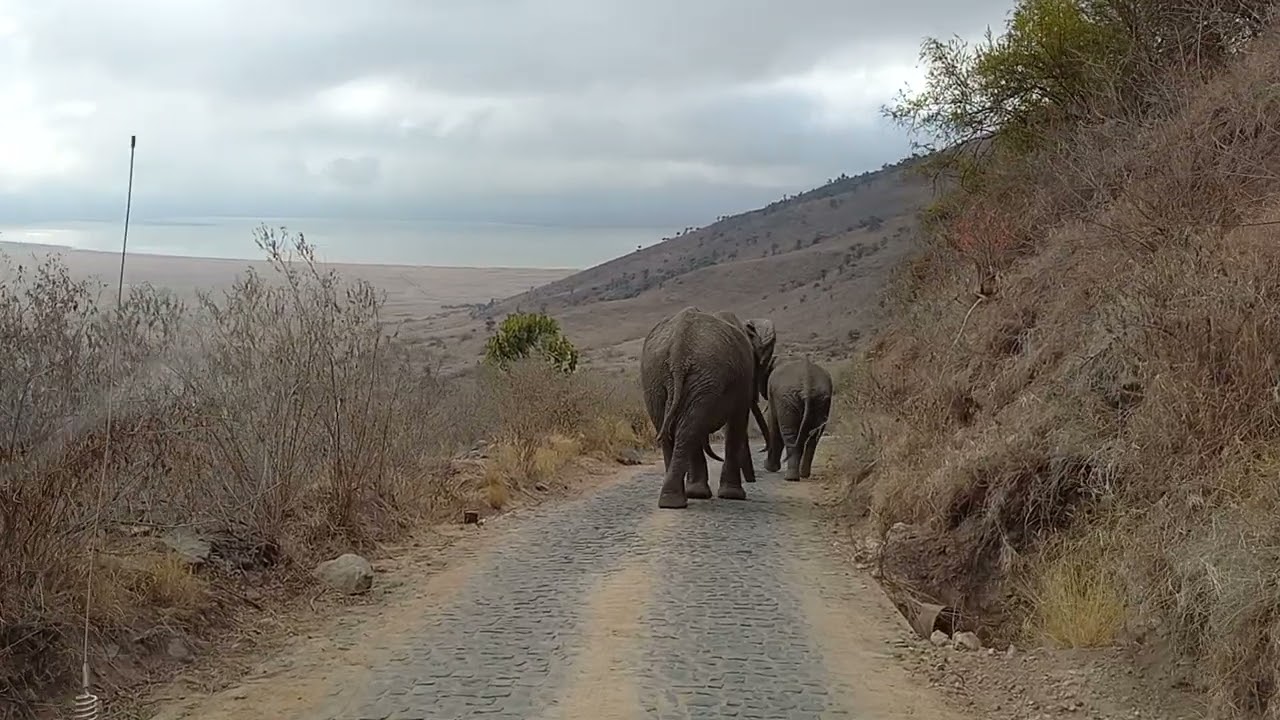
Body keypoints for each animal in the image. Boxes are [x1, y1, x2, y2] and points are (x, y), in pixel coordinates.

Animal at [640, 306, 762, 508]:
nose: (752, 479)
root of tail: (678, 348)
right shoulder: (743, 380)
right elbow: (737, 423)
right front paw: (733, 496)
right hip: (694, 375)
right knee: (688, 428)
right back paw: (679, 500)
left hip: (658, 377)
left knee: (679, 429)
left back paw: (673, 500)